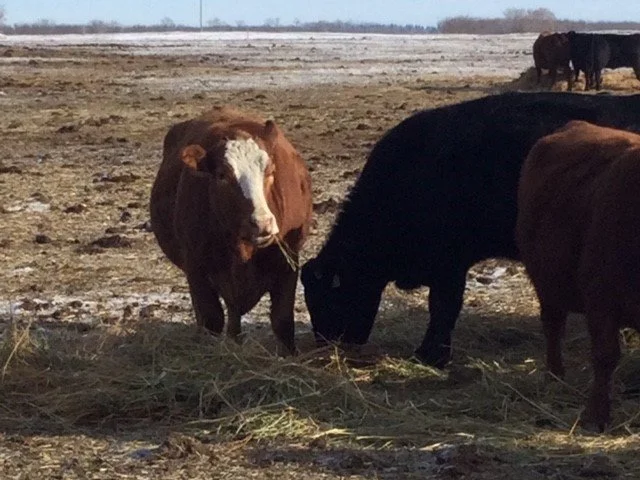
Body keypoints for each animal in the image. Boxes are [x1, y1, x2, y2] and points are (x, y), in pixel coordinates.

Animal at [150, 106, 313, 353]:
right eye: (222, 175)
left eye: (270, 171)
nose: (262, 223)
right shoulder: (196, 269)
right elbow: (210, 320)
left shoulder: (287, 264)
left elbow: (283, 321)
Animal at [516, 120, 640, 431]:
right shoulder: (600, 299)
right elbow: (605, 356)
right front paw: (596, 415)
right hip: (546, 285)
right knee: (552, 327)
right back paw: (554, 375)